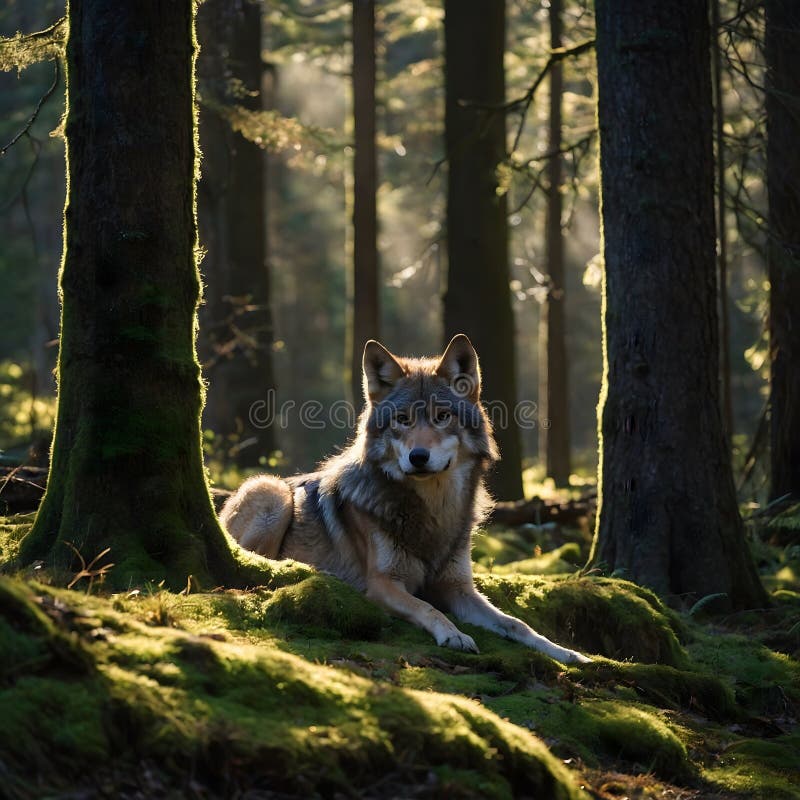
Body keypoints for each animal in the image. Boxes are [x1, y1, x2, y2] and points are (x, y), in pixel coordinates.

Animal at [221, 334, 590, 664]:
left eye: (442, 416)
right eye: (403, 420)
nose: (418, 457)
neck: (434, 511)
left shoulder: (459, 588)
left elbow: (517, 624)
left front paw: (569, 653)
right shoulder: (383, 584)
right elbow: (427, 607)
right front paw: (454, 635)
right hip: (272, 492)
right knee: (258, 560)